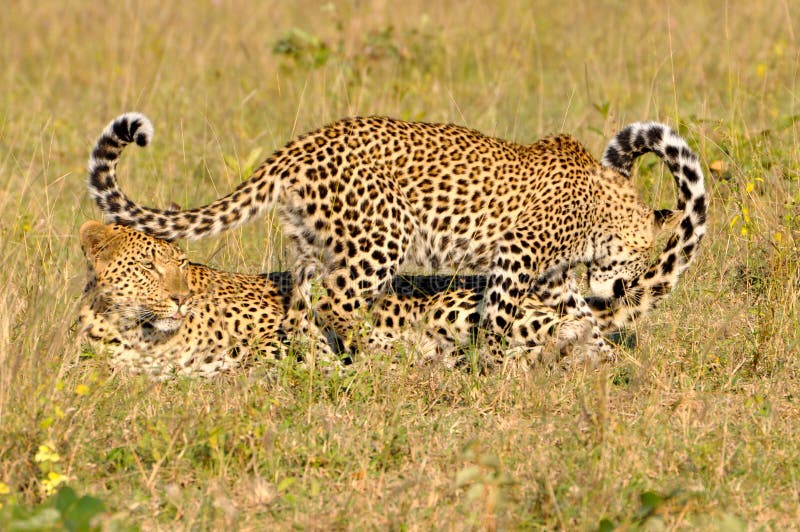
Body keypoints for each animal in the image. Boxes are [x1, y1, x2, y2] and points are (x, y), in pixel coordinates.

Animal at [87, 113, 705, 365]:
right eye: (637, 261)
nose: (619, 290)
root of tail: (300, 146)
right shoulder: (517, 259)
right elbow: (501, 317)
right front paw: (496, 363)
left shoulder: (551, 277)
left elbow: (573, 312)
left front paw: (605, 354)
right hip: (384, 233)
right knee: (336, 302)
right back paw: (377, 352)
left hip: (315, 243)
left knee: (302, 303)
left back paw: (322, 361)